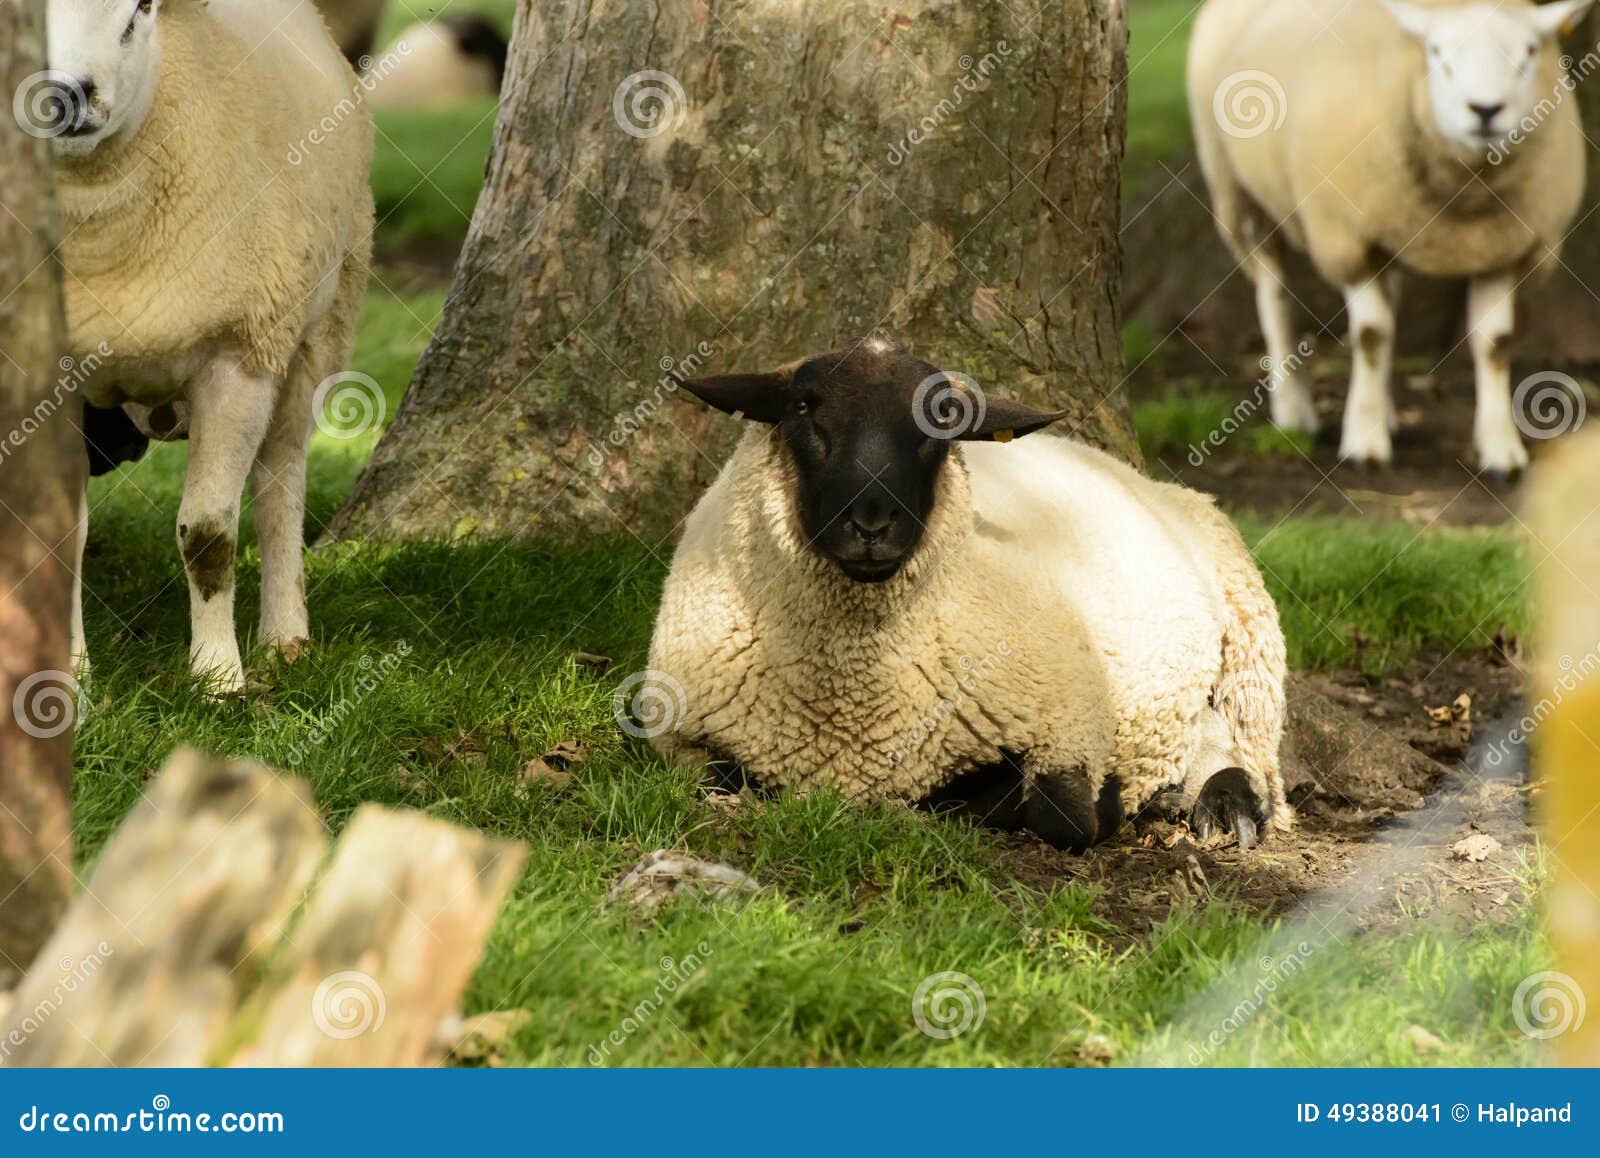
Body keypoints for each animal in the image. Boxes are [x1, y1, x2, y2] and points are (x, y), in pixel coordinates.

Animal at [42, 0, 374, 691]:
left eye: (138, 12)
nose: (67, 94)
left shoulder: (238, 357)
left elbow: (209, 535)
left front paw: (218, 679)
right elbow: (61, 532)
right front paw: (70, 676)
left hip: (318, 331)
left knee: (280, 486)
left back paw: (284, 638)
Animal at [643, 339, 1289, 851]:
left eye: (942, 424)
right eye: (803, 407)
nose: (872, 523)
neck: (851, 706)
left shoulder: (1070, 723)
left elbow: (1067, 818)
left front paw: (1107, 803)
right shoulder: (677, 737)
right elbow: (710, 778)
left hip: (1247, 647)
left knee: (1242, 744)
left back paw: (1220, 803)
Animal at [1188, 0, 1593, 478]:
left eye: (1530, 51)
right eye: (1436, 53)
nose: (1485, 109)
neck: (1469, 195)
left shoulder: (1505, 249)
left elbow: (1494, 344)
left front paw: (1500, 450)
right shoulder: (1348, 238)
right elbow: (1370, 334)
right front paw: (1364, 442)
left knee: (1388, 299)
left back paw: (1387, 411)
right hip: (1237, 190)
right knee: (1275, 295)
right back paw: (1294, 409)